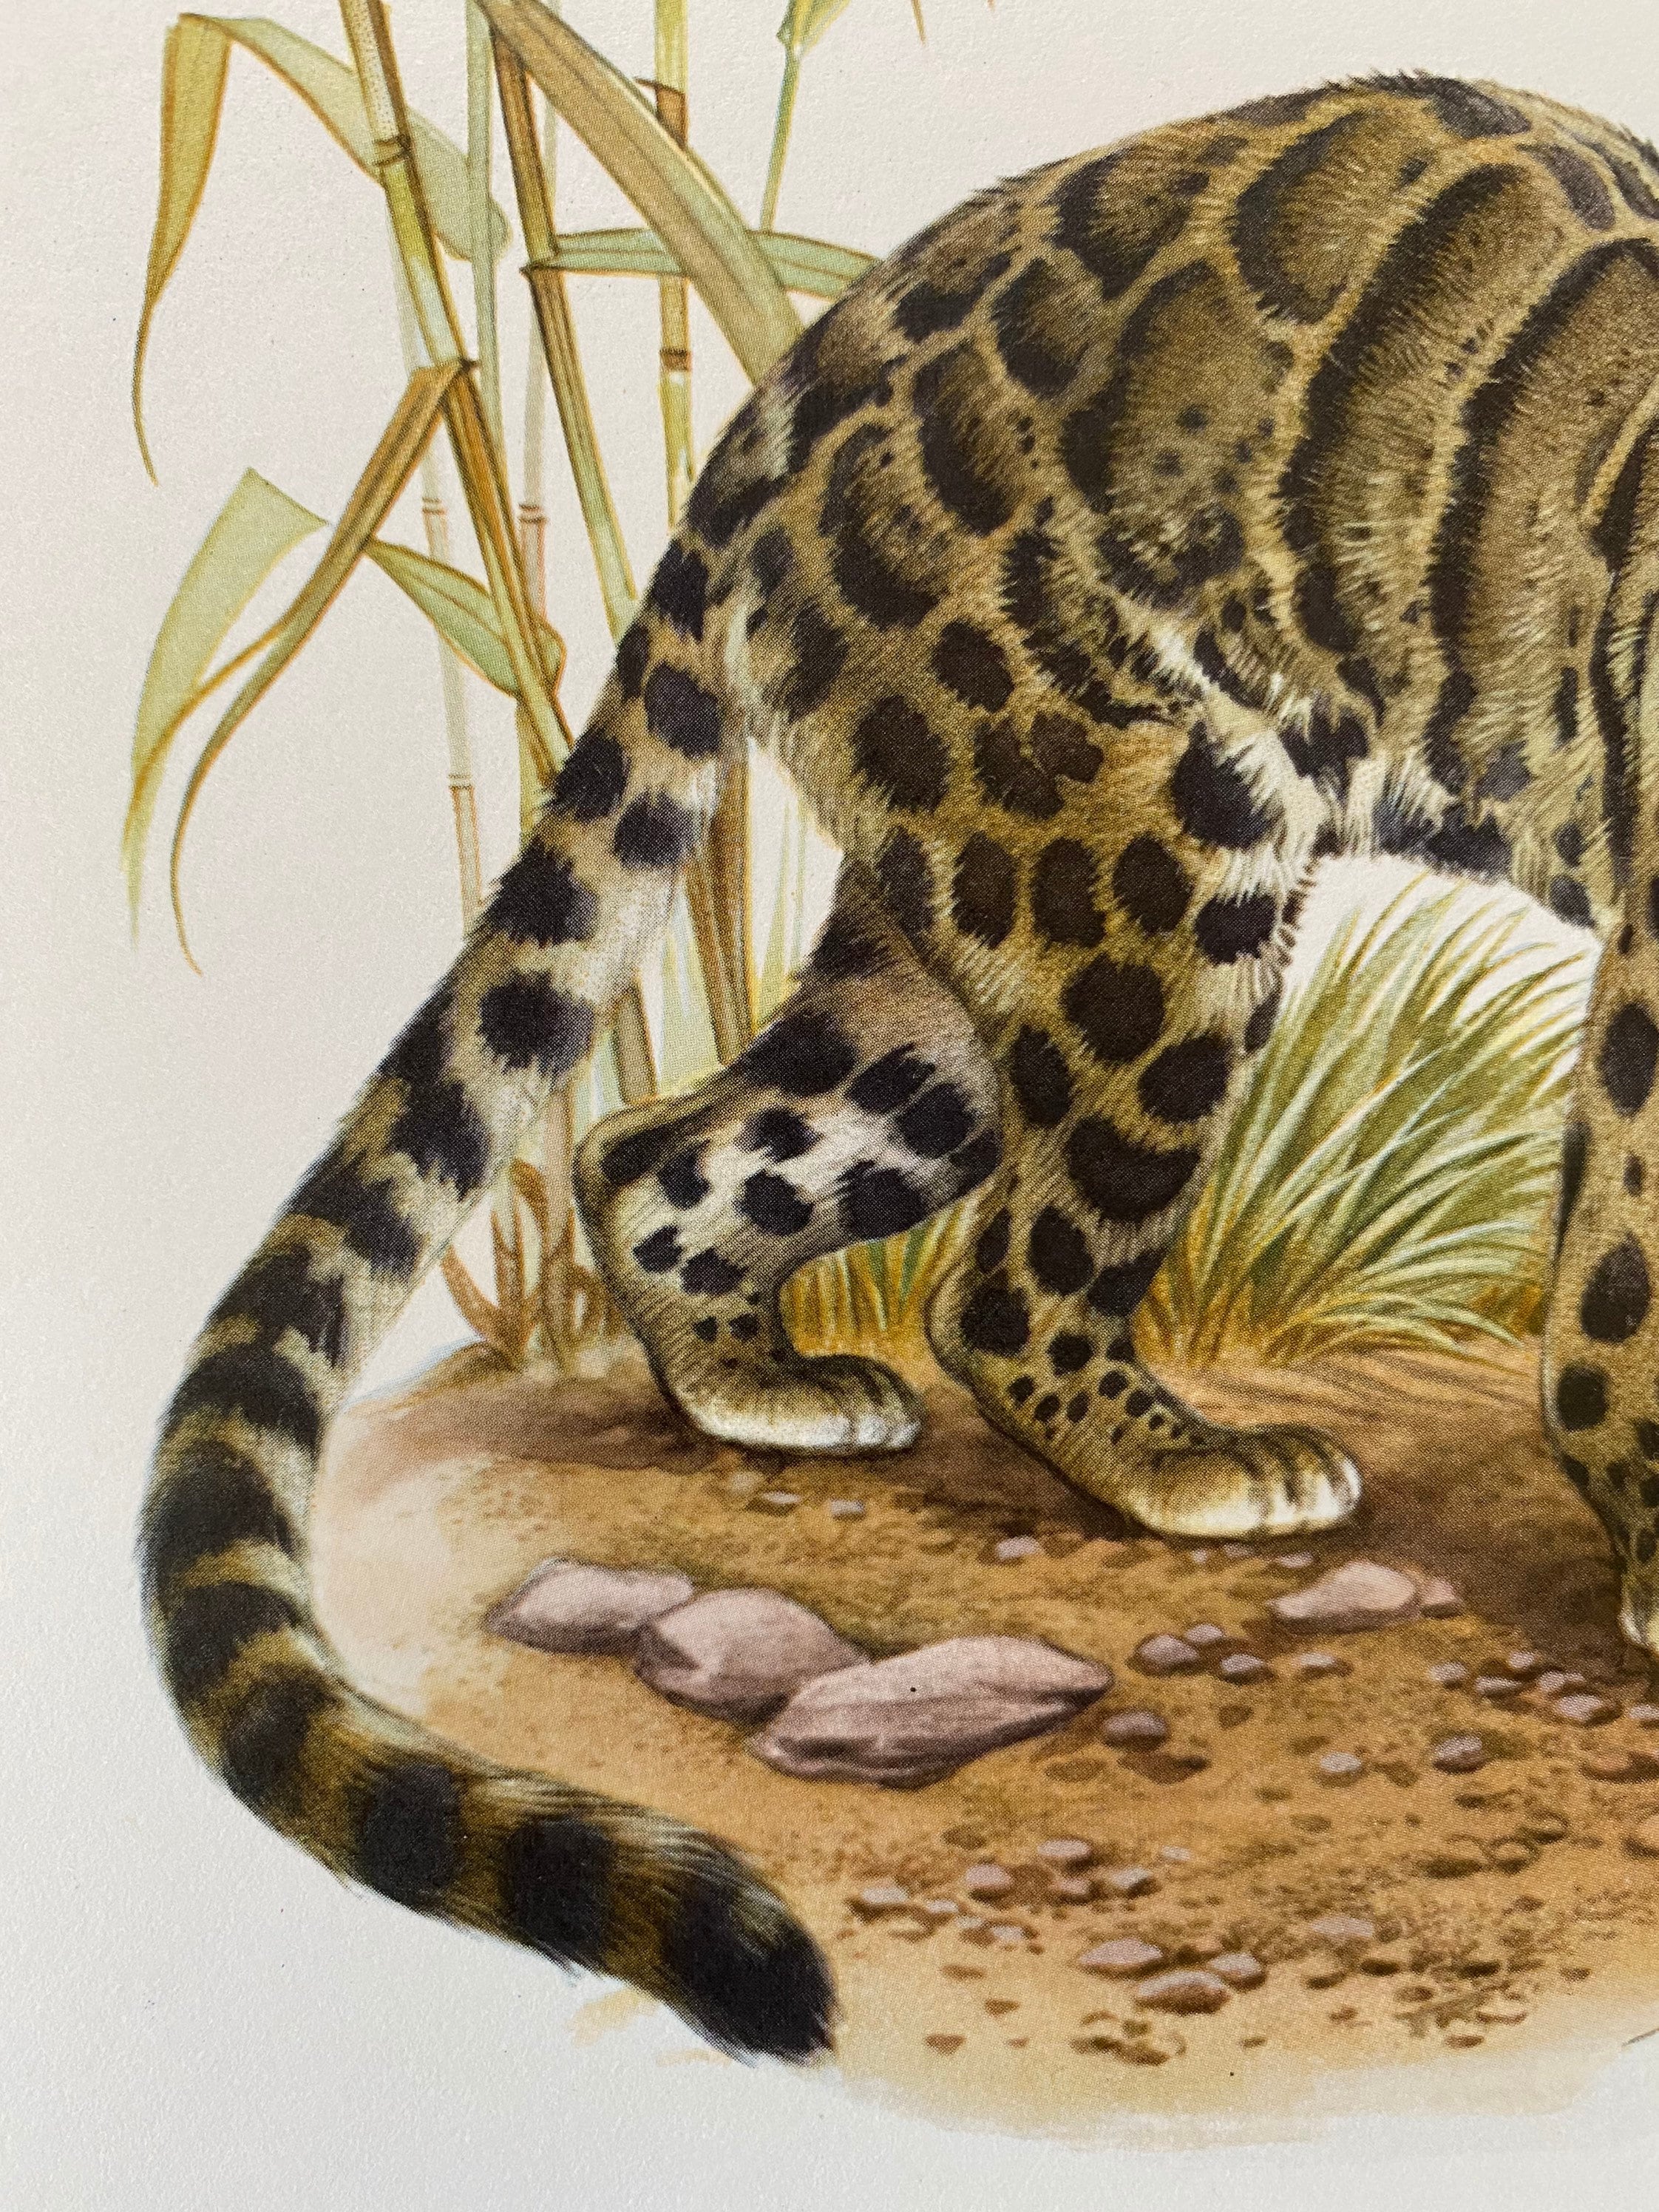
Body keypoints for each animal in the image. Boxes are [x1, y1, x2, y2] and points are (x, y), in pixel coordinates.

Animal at [141, 70, 1659, 2063]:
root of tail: (818, 361)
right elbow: (1620, 1302)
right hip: (1147, 877)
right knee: (1003, 1281)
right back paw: (1193, 1463)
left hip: (954, 973)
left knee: (652, 1149)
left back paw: (756, 1384)